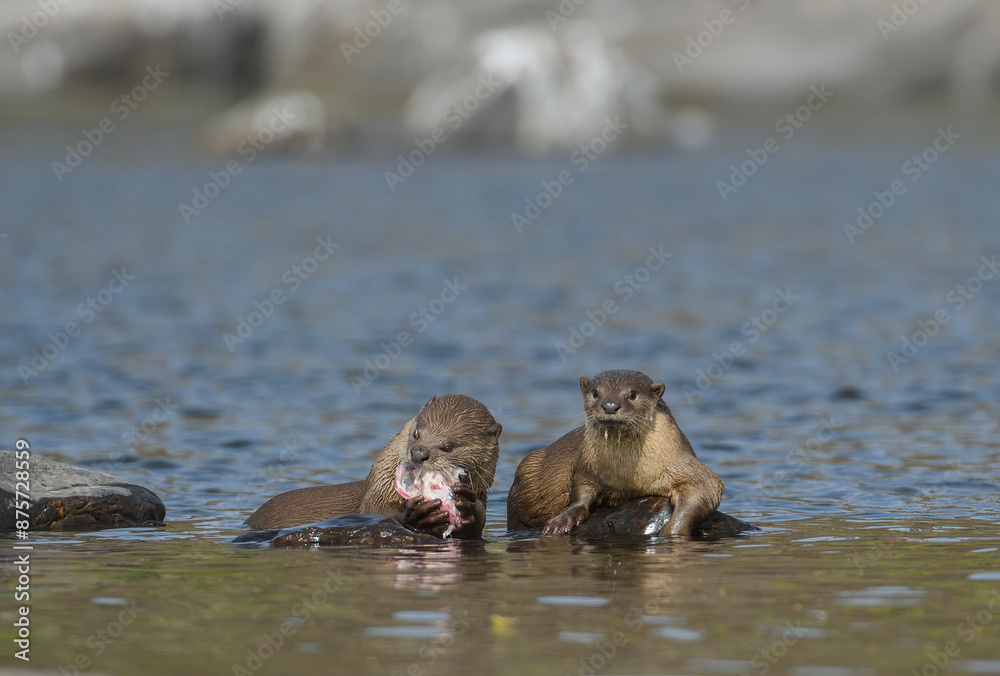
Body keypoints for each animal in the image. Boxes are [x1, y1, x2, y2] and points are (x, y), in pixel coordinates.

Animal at [245, 394, 501, 539]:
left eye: (448, 447)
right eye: (417, 433)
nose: (418, 453)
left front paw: (468, 506)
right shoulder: (376, 492)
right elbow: (374, 512)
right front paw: (415, 514)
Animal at [506, 370, 723, 537]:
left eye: (632, 394)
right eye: (595, 393)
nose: (610, 405)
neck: (628, 475)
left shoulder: (686, 467)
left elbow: (704, 490)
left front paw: (670, 532)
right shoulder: (587, 466)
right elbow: (581, 493)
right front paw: (562, 520)